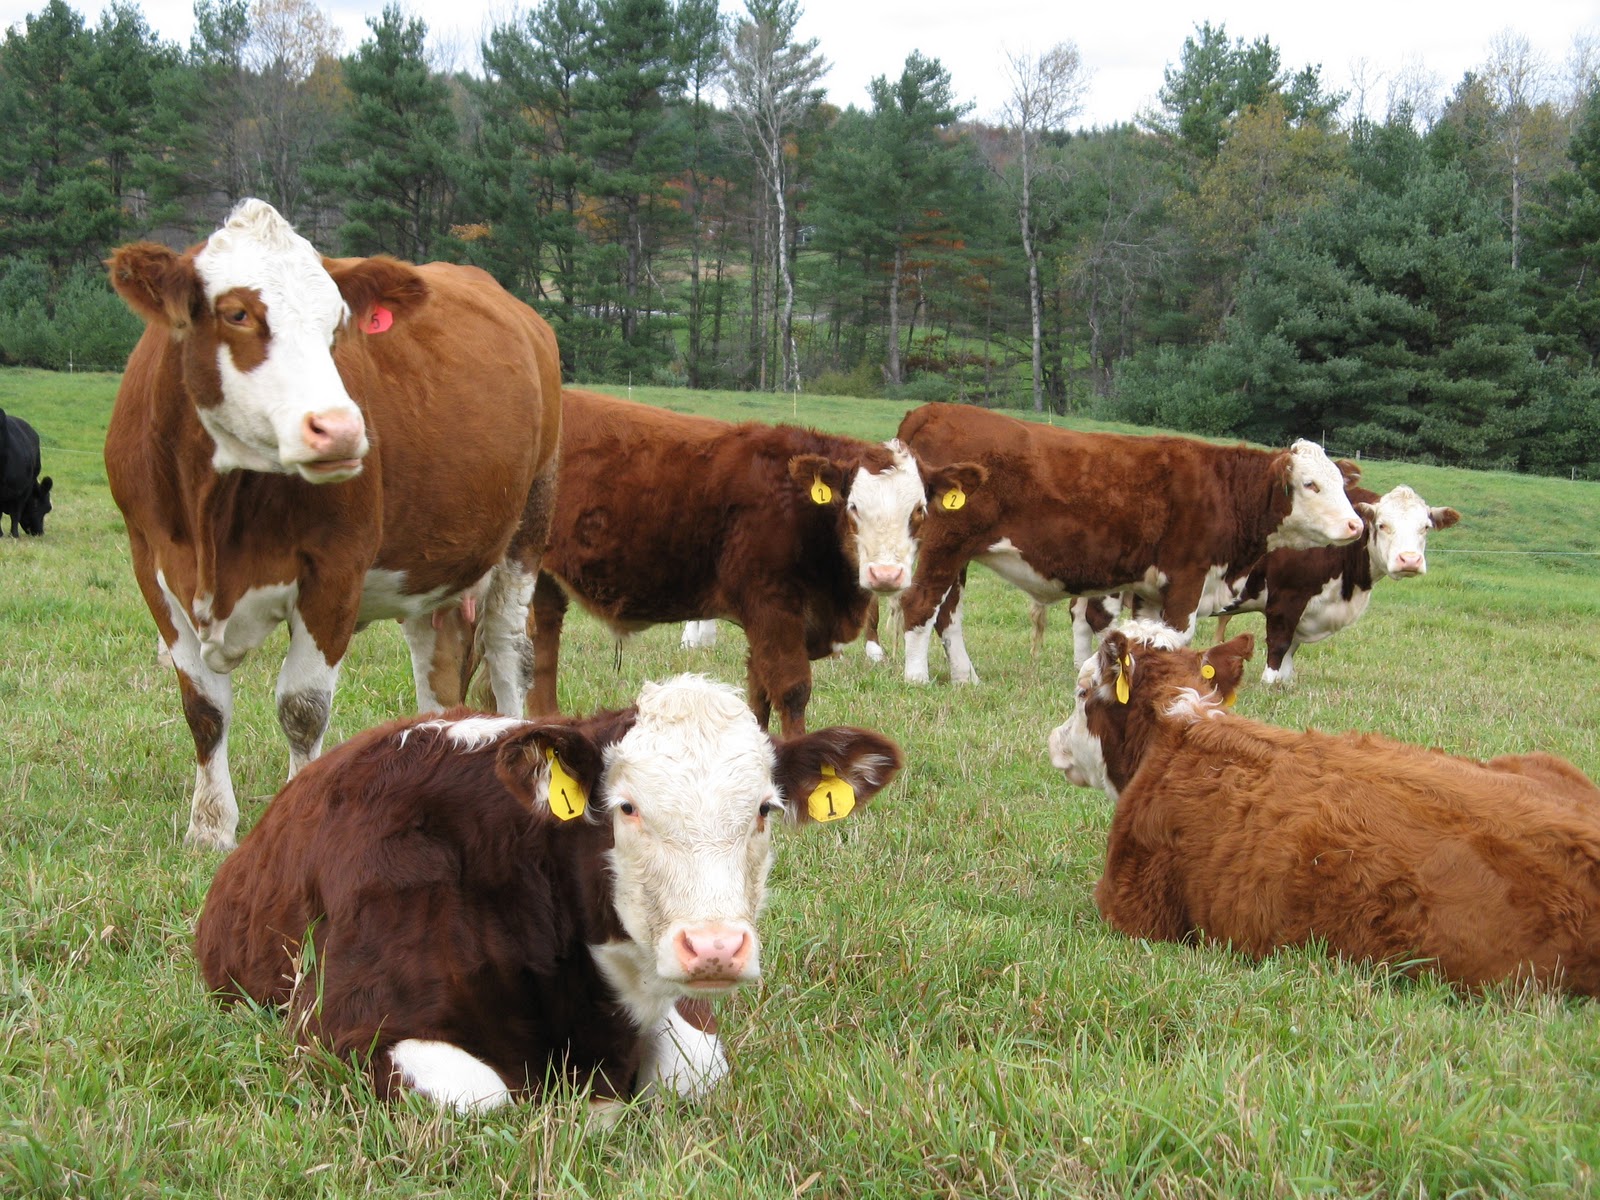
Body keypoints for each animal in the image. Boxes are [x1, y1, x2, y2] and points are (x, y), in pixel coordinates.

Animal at [105, 199, 561, 851]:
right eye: (237, 313)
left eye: (336, 326)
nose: (341, 429)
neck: (215, 509)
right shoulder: (153, 566)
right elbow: (204, 707)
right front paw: (210, 828)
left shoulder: (335, 571)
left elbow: (302, 708)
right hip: (426, 562)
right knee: (436, 661)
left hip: (528, 526)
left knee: (507, 651)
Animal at [195, 674, 903, 1118]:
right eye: (626, 807)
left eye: (763, 810)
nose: (715, 948)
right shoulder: (338, 1026)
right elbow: (482, 1096)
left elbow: (694, 1074)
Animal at [528, 389, 985, 734]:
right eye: (853, 506)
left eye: (919, 510)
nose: (885, 574)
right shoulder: (772, 607)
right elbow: (791, 688)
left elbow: (759, 691)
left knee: (543, 641)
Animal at [888, 404, 1363, 685]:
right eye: (1311, 484)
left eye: (1341, 484)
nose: (1355, 525)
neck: (1222, 490)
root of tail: (934, 410)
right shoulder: (1187, 578)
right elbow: (1178, 636)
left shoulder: (1151, 591)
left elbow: (1151, 638)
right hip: (946, 544)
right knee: (921, 602)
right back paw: (917, 677)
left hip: (958, 555)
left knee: (948, 611)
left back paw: (965, 677)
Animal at [1213, 484, 1462, 684]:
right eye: (1382, 525)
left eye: (1425, 527)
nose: (1409, 560)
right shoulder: (1287, 598)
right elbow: (1280, 642)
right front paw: (1269, 682)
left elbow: (1292, 646)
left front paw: (1285, 681)